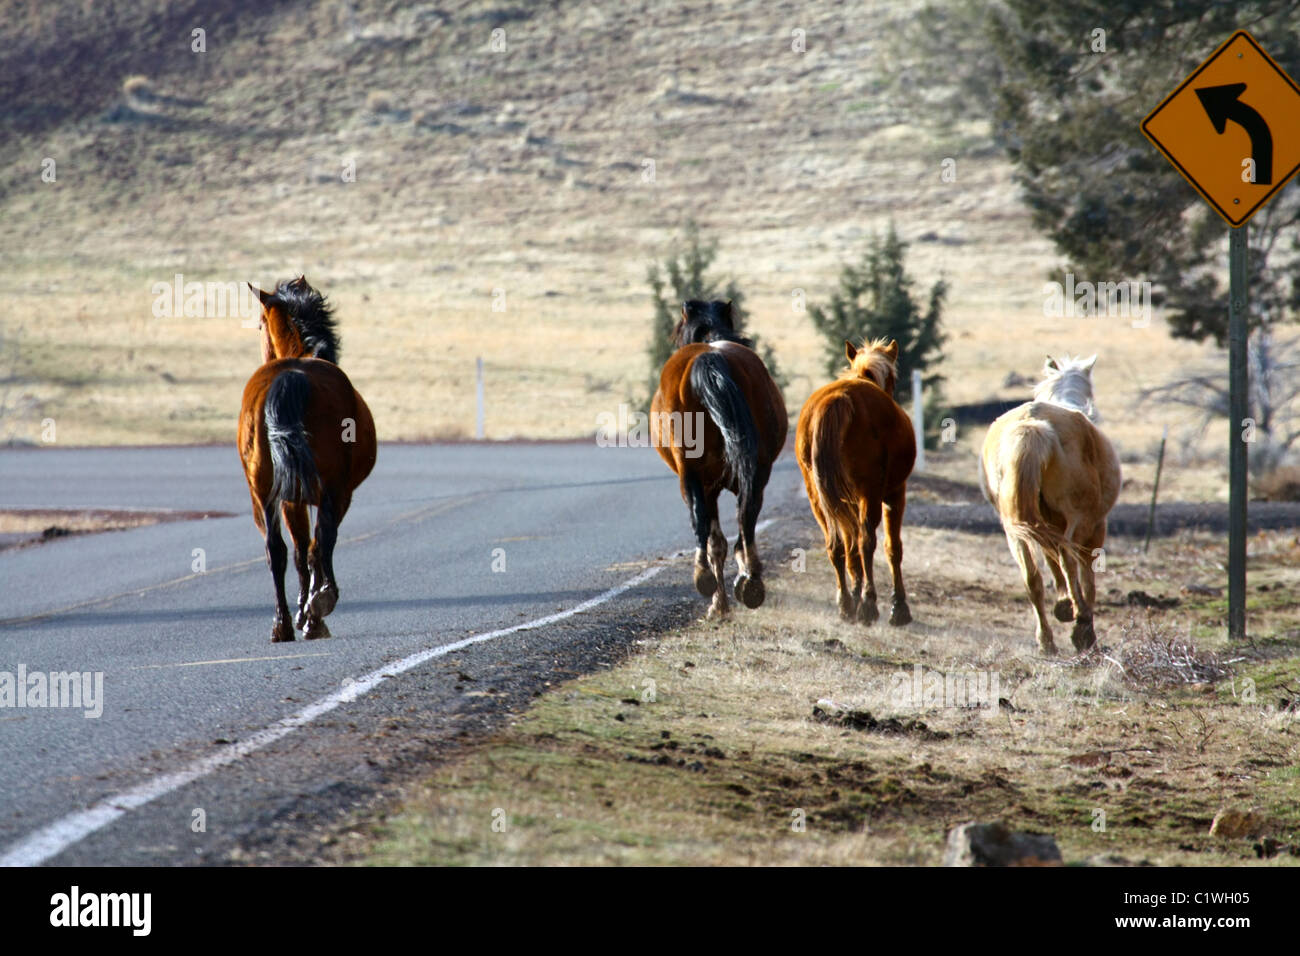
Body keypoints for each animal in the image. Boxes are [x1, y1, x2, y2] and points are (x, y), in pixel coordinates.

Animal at [238, 277, 377, 642]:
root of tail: (292, 375)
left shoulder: (290, 498)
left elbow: (298, 551)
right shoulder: (330, 494)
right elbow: (315, 547)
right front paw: (311, 606)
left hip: (264, 493)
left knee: (277, 550)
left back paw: (283, 624)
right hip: (331, 491)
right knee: (319, 543)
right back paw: (317, 611)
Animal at [650, 300, 788, 618]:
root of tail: (709, 356)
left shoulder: (706, 485)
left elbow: (715, 541)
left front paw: (718, 604)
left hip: (692, 475)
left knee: (707, 522)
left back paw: (708, 577)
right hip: (755, 472)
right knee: (746, 518)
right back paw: (750, 582)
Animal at [796, 338, 916, 626]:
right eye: (893, 378)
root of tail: (838, 399)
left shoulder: (845, 501)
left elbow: (851, 550)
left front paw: (855, 590)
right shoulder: (895, 494)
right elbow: (892, 548)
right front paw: (898, 607)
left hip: (818, 497)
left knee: (836, 546)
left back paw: (846, 604)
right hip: (870, 495)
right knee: (866, 542)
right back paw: (868, 605)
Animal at [979, 355, 1120, 655]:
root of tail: (1033, 425)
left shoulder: (1043, 524)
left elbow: (1050, 561)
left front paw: (1064, 604)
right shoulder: (1096, 527)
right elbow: (1086, 576)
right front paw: (1081, 620)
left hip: (1014, 530)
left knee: (1031, 578)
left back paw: (1047, 639)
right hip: (1081, 519)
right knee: (1068, 556)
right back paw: (1082, 624)